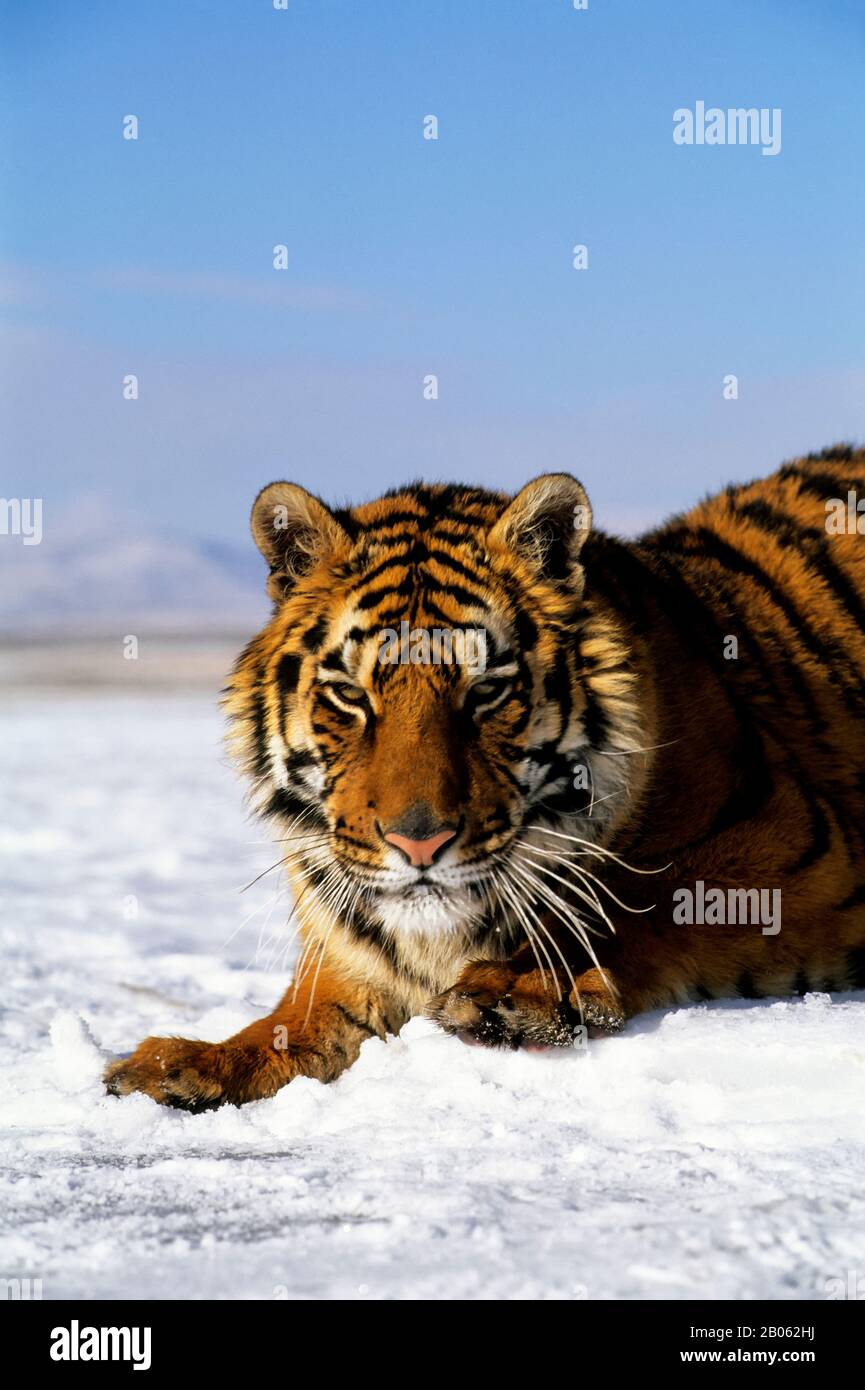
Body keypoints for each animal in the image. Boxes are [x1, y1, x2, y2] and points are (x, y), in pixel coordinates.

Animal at [105, 442, 865, 1110]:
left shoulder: (798, 847)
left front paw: (519, 987)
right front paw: (183, 1065)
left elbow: (638, 900)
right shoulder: (347, 953)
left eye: (487, 691)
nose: (416, 842)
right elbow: (295, 1017)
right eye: (350, 696)